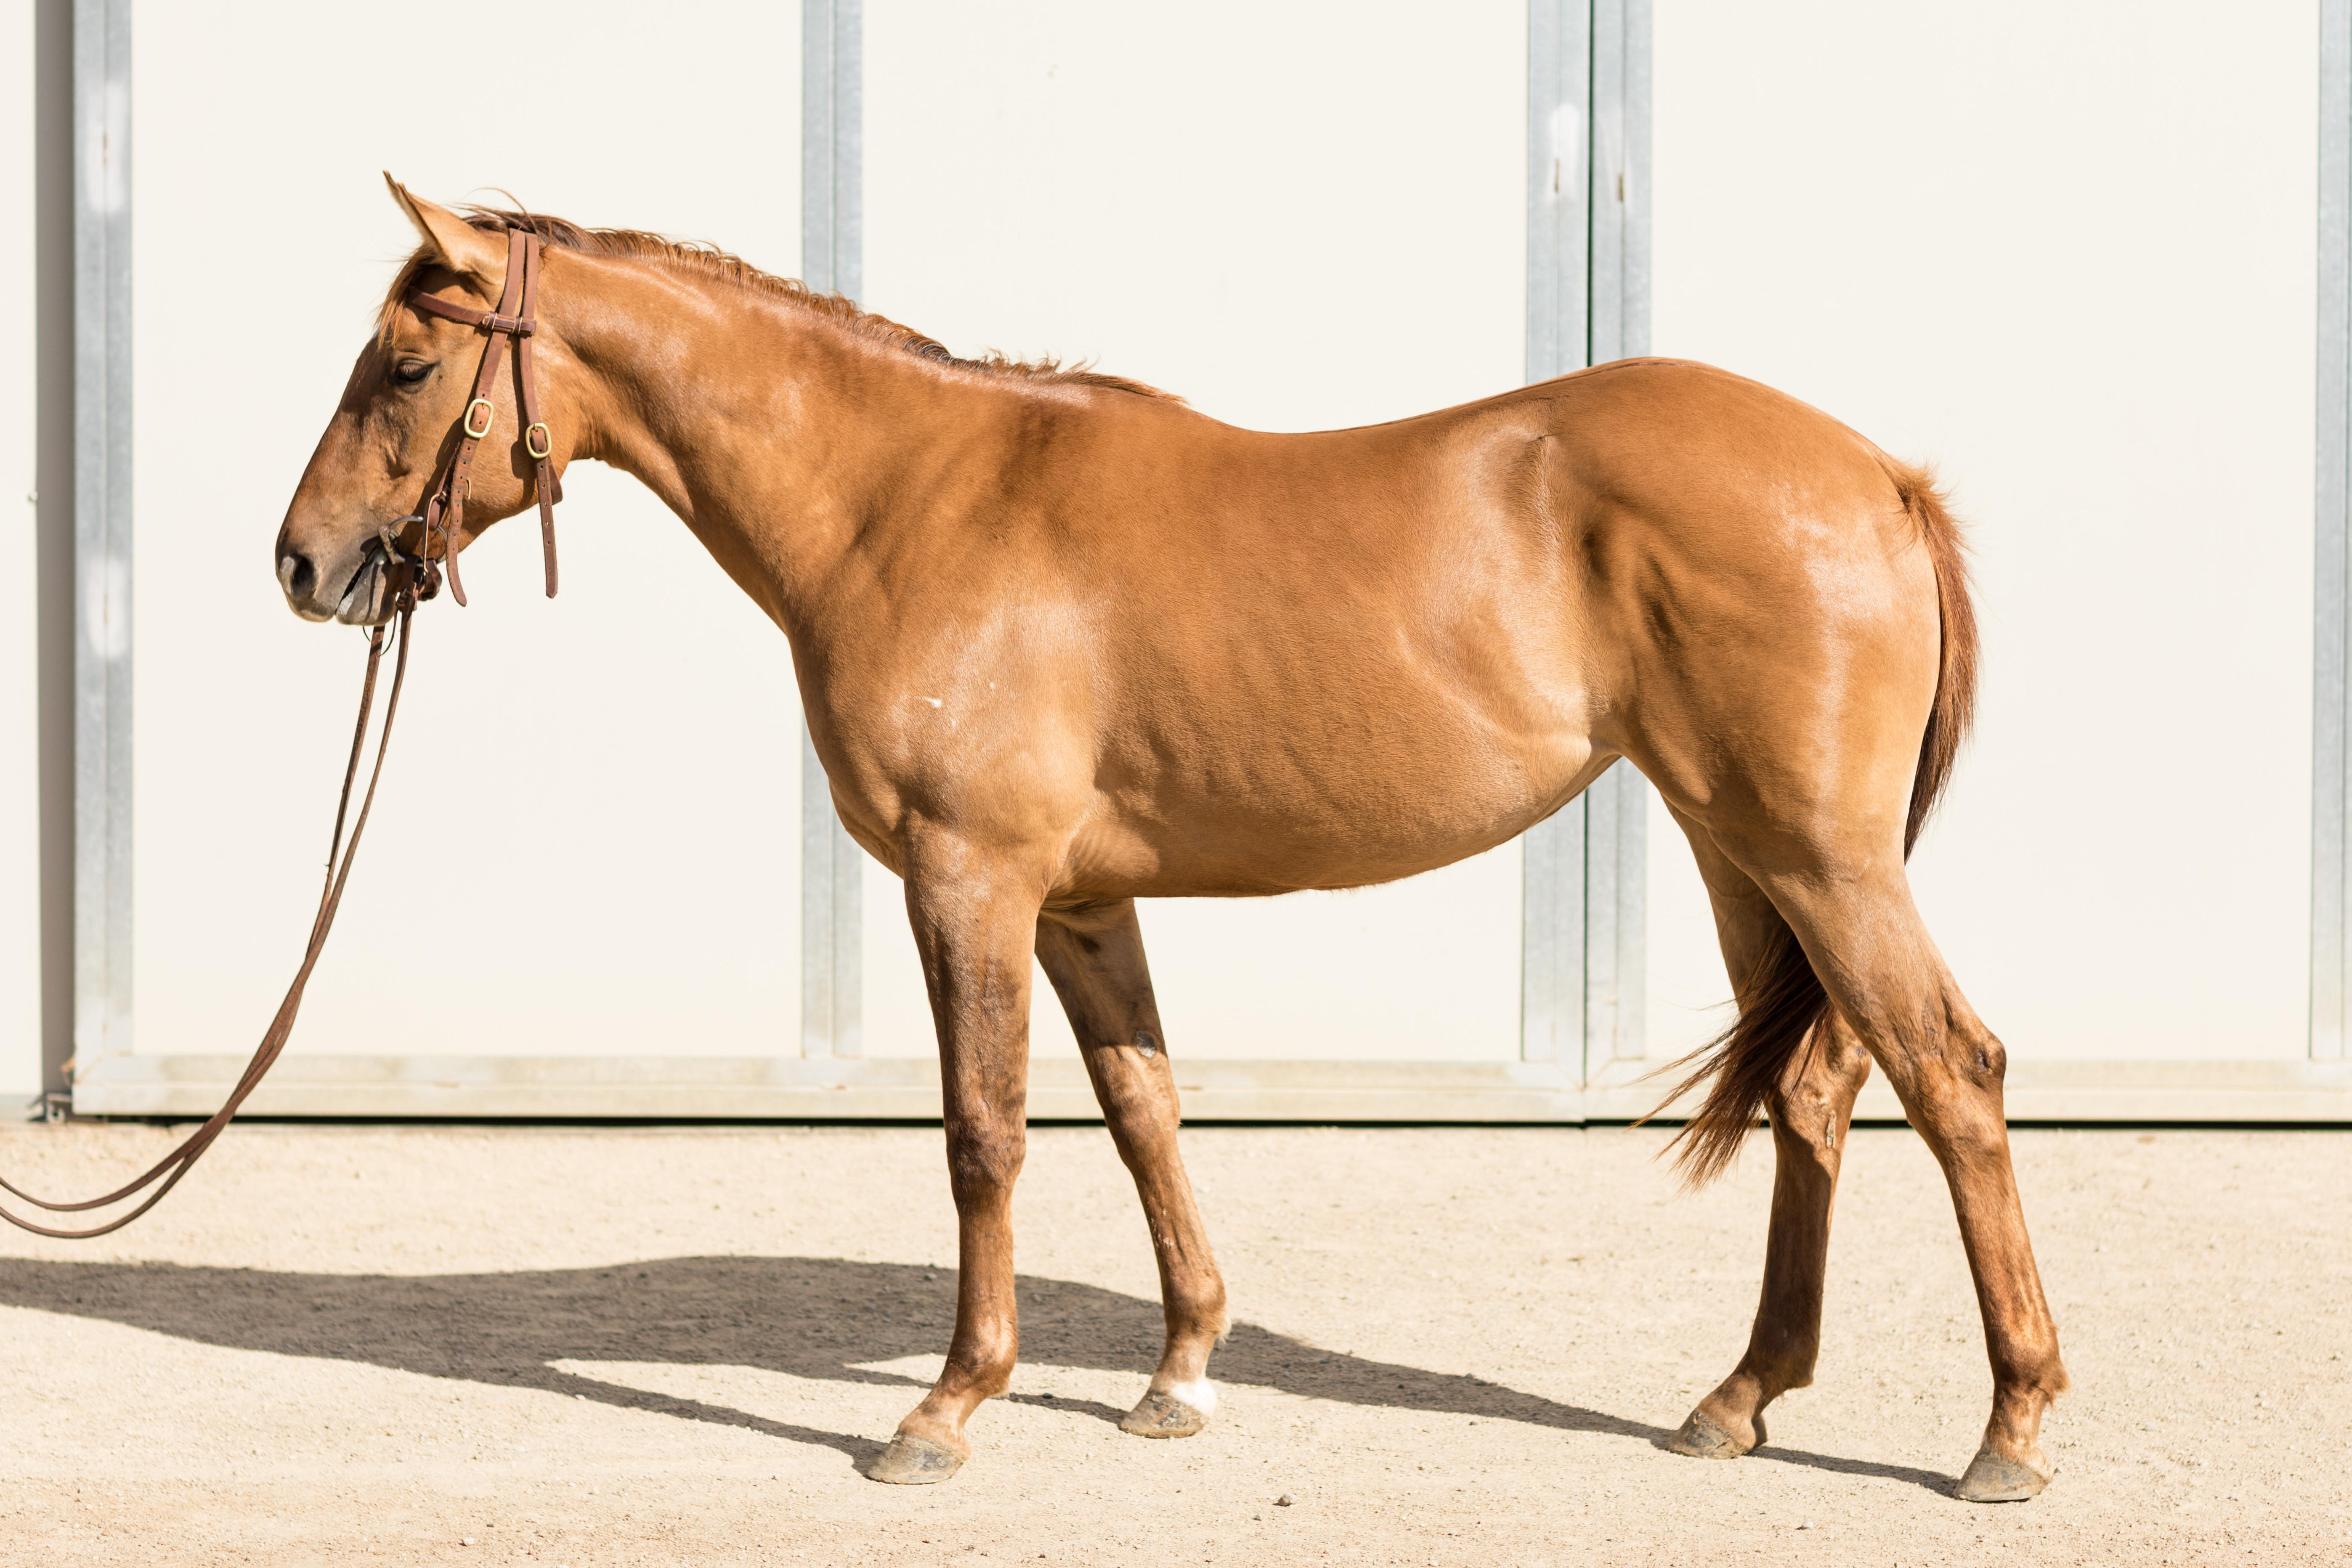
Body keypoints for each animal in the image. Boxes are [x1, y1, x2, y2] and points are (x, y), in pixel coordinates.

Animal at [273, 175, 2065, 1500]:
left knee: (1949, 1069)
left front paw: (946, 1407)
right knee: (1823, 1086)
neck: (904, 497)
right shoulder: (1082, 902)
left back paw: (2010, 1425)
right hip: (1737, 846)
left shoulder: (972, 880)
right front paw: (1181, 1372)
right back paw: (1741, 1395)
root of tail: (1881, 477)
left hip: (1817, 851)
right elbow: (1144, 1110)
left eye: (407, 367)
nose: (303, 563)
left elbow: (982, 1133)